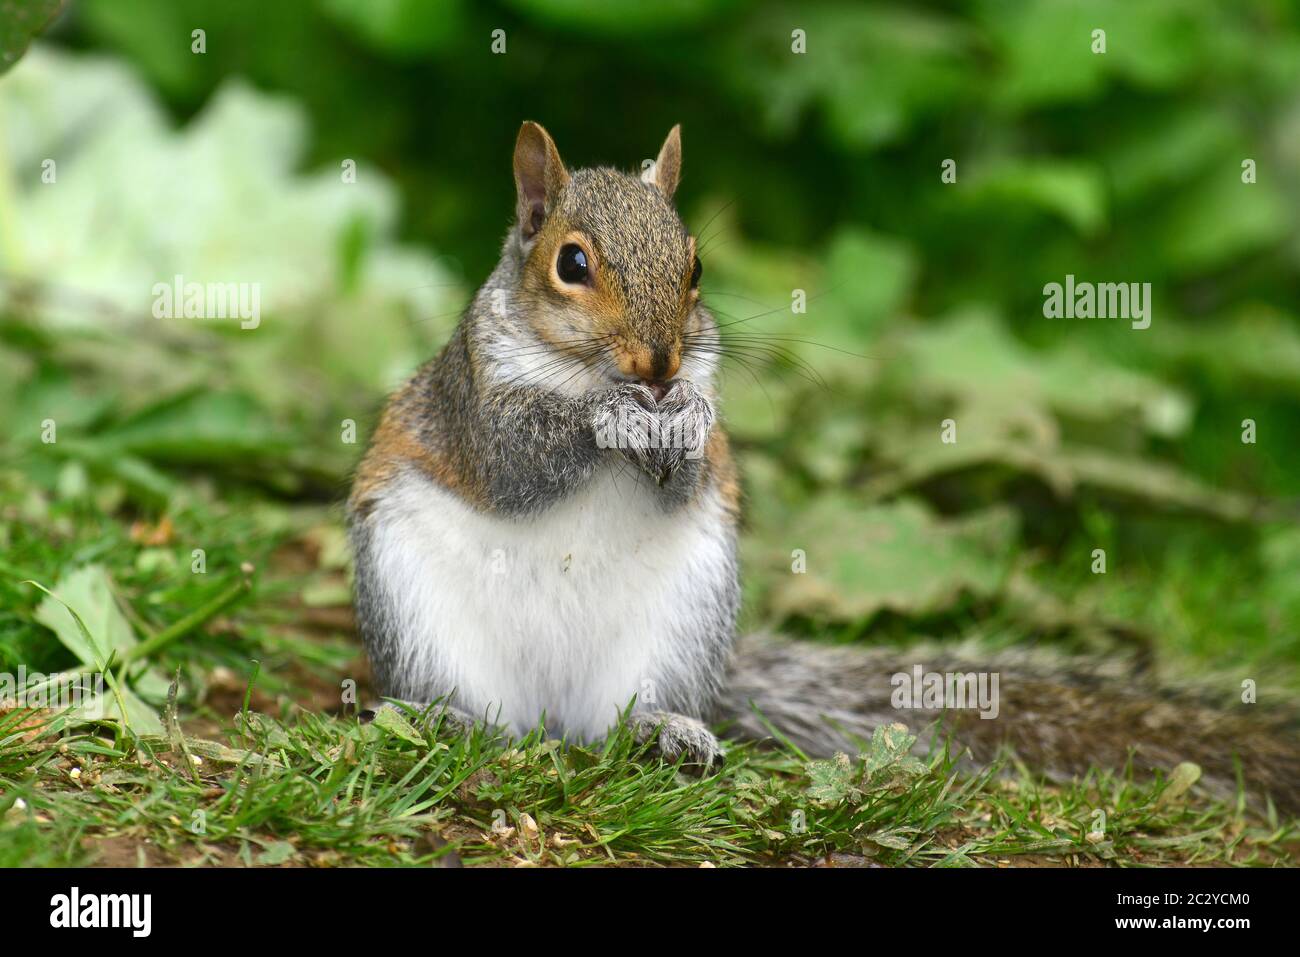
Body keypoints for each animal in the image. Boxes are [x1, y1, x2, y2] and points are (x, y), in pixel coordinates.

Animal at [348, 122, 1299, 815]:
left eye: (697, 265)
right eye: (570, 263)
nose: (659, 364)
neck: (592, 373)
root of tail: (549, 719)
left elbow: (687, 471)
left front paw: (681, 424)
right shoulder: (473, 399)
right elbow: (517, 459)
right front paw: (604, 418)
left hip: (683, 616)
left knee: (626, 713)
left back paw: (662, 733)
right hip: (416, 605)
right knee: (457, 704)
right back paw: (450, 721)